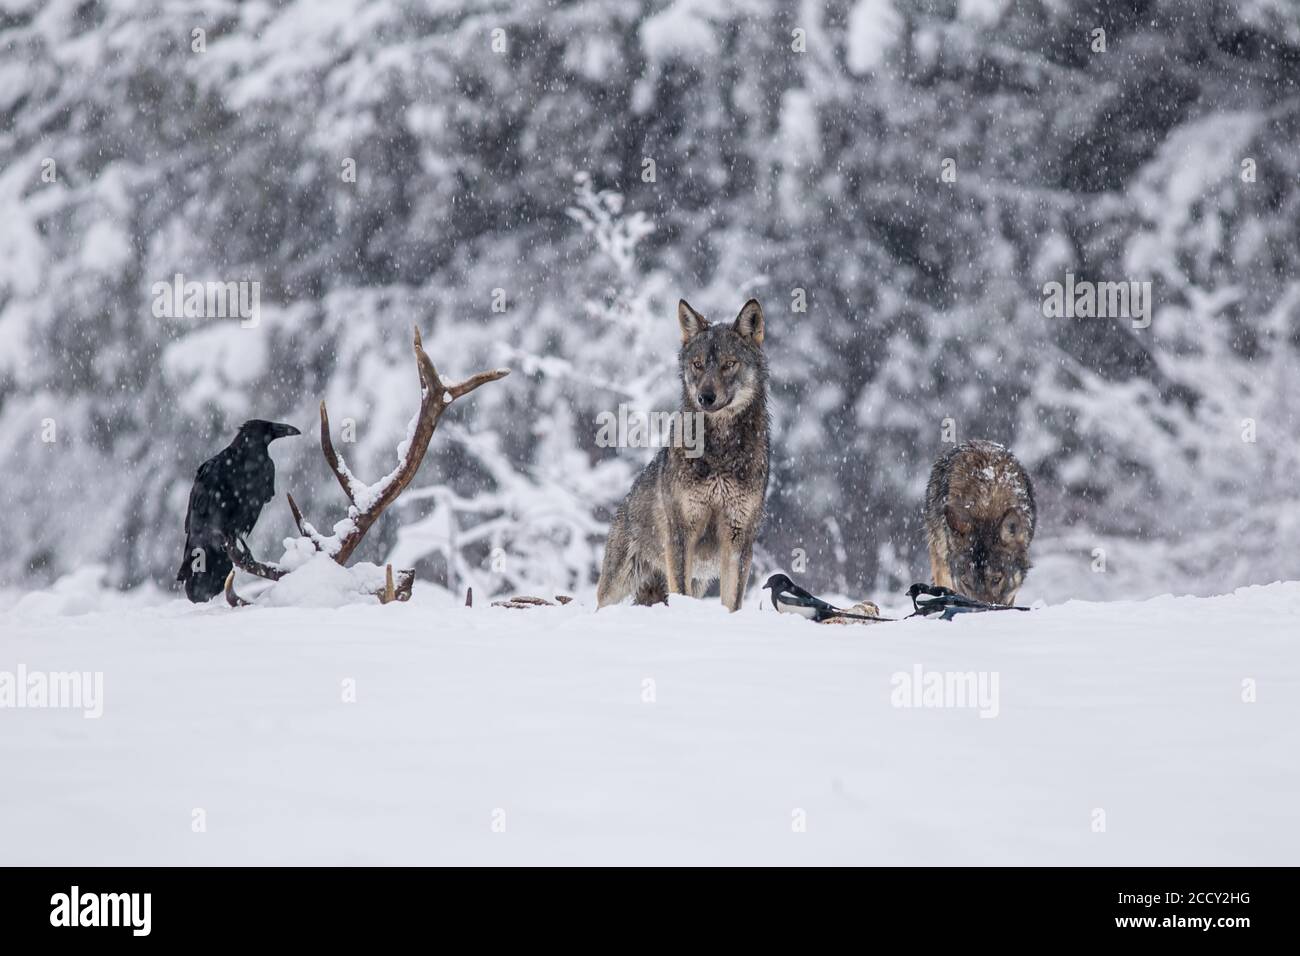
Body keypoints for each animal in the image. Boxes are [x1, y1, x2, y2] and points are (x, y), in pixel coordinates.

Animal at [597, 299, 770, 612]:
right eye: (697, 365)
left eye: (728, 364)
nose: (706, 397)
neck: (720, 449)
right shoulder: (680, 533)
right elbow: (681, 591)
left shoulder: (739, 537)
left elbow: (732, 602)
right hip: (617, 584)